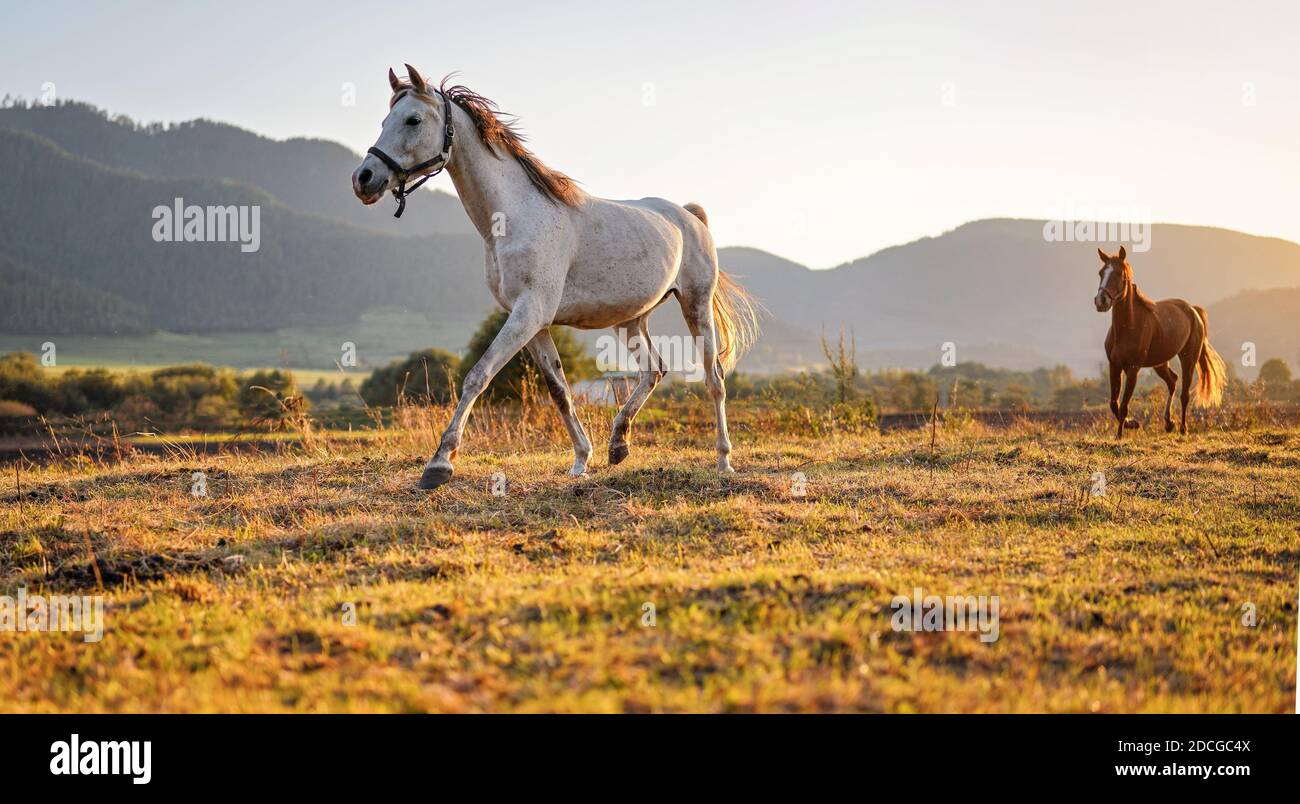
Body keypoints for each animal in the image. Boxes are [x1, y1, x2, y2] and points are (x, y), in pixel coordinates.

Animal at [352, 66, 760, 490]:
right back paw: (618, 444)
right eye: (384, 121)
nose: (364, 178)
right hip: (632, 319)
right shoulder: (533, 321)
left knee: (714, 379)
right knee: (654, 370)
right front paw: (581, 460)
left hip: (695, 305)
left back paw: (723, 460)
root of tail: (687, 215)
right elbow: (559, 390)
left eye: (413, 120)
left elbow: (478, 376)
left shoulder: (530, 313)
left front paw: (439, 464)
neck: (516, 215)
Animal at [1093, 246, 1226, 439]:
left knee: (1184, 394)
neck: (1127, 327)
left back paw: (1182, 428)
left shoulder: (1133, 369)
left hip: (1188, 358)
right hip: (1160, 363)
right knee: (1172, 380)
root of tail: (1193, 310)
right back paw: (1169, 423)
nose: (1100, 301)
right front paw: (1132, 424)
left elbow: (1124, 405)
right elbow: (1114, 403)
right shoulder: (1115, 366)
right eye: (1101, 272)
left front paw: (1120, 434)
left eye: (1118, 273)